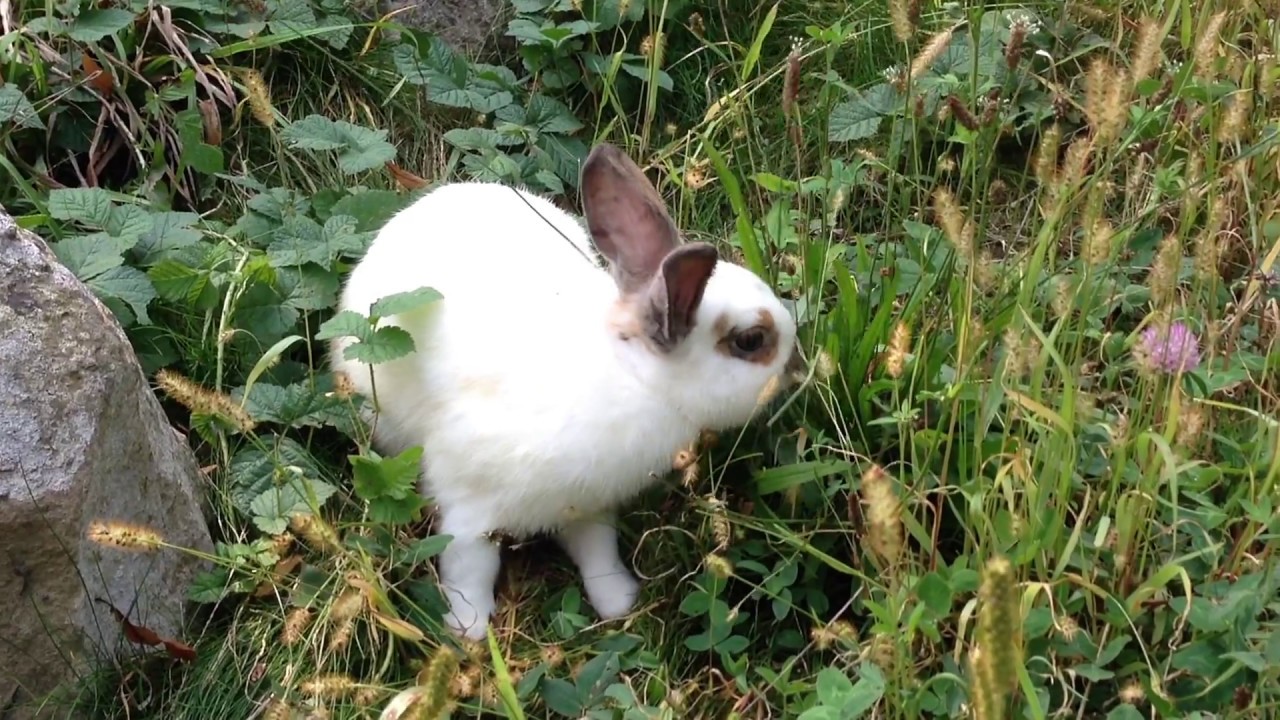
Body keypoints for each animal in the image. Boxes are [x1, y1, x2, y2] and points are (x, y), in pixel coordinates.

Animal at [329, 143, 801, 640]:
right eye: (751, 341)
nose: (800, 366)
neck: (633, 376)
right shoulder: (468, 506)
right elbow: (469, 567)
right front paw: (469, 628)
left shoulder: (587, 508)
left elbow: (598, 551)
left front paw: (618, 600)